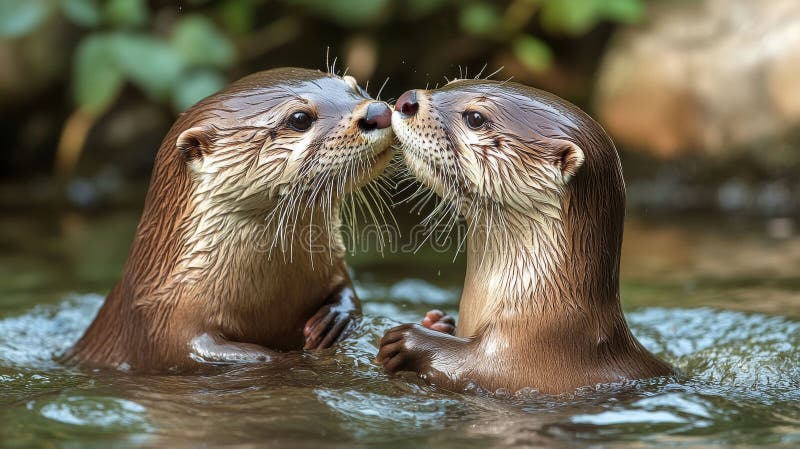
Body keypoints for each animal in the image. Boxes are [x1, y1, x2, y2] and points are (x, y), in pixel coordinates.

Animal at [66, 68, 394, 372]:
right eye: (299, 118)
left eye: (356, 87)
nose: (378, 112)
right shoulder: (164, 326)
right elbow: (210, 351)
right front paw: (290, 360)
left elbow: (347, 290)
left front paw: (336, 318)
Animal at [377, 80, 673, 394]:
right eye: (450, 84)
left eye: (476, 118)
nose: (406, 100)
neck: (543, 307)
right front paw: (437, 323)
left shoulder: (521, 361)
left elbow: (474, 366)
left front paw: (409, 340)